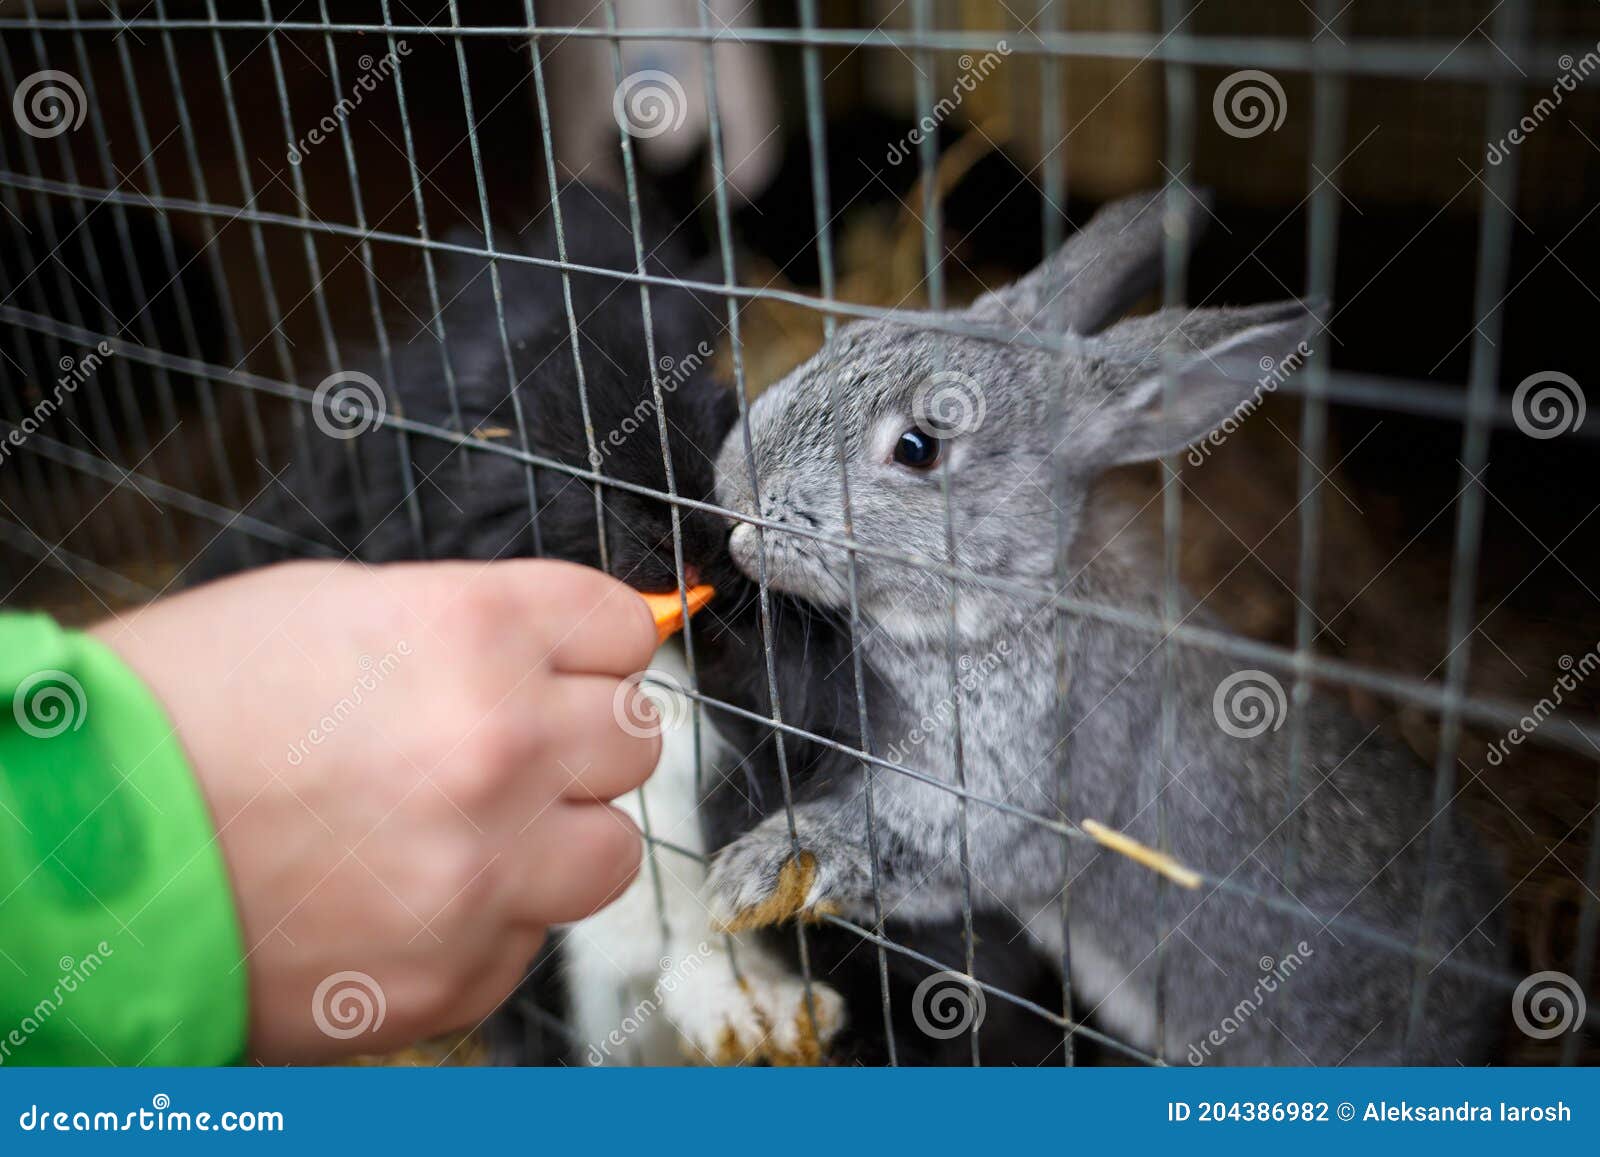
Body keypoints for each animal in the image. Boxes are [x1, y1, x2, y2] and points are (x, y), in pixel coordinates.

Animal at [705, 188, 1509, 1065]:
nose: (734, 491)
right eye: (844, 336)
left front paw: (750, 875)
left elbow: (903, 838)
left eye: (918, 447)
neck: (1015, 595)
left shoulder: (1011, 788)